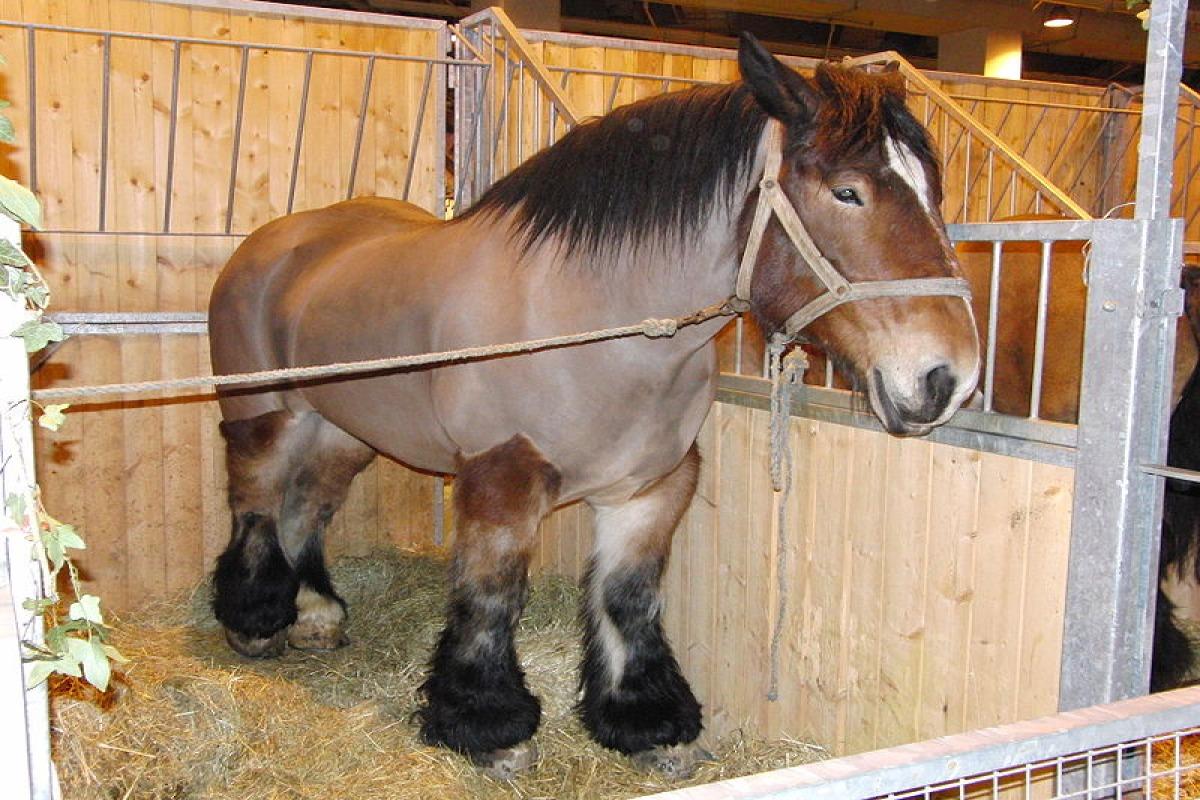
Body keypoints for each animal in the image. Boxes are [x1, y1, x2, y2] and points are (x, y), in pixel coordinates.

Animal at [205, 34, 980, 778]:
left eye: (936, 192)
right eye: (848, 192)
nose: (948, 377)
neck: (593, 321)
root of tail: (273, 243)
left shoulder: (652, 487)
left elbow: (626, 598)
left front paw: (647, 725)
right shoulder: (500, 483)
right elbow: (491, 599)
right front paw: (489, 730)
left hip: (343, 426)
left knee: (307, 505)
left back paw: (313, 614)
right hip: (262, 414)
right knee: (257, 503)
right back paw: (254, 620)